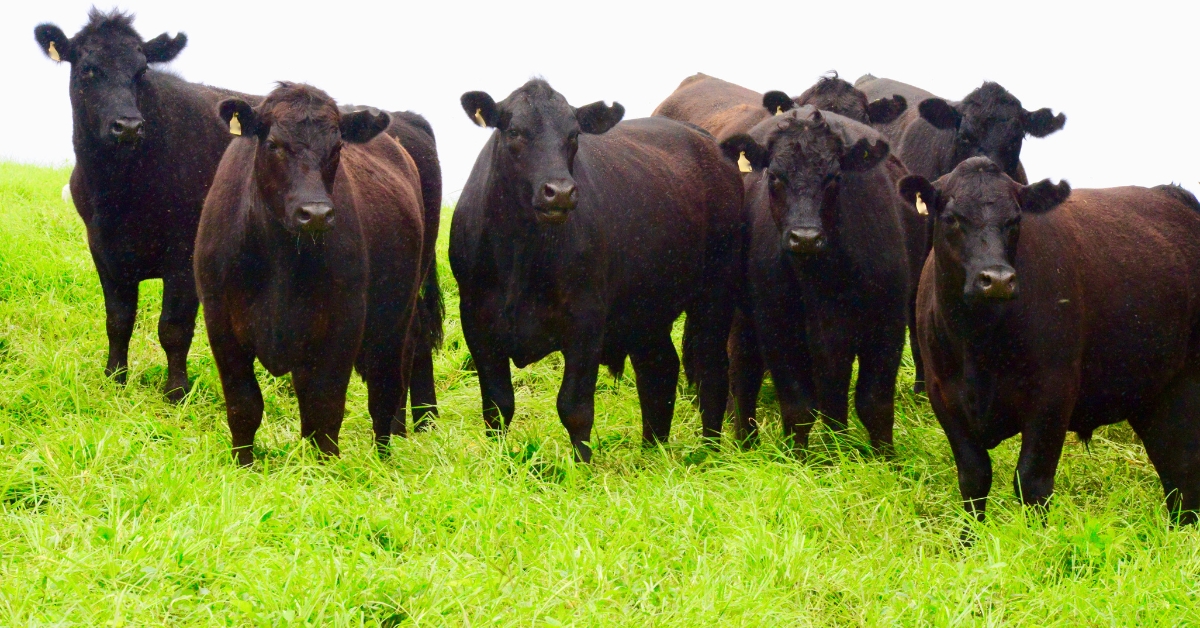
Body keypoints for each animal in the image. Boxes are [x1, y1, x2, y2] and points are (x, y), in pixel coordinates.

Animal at [34, 9, 256, 401]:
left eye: (142, 71)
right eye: (88, 68)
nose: (128, 126)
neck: (122, 194)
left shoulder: (185, 253)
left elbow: (174, 327)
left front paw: (176, 392)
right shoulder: (102, 248)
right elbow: (118, 319)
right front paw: (114, 378)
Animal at [195, 83, 425, 465]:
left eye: (338, 147)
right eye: (273, 144)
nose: (315, 213)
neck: (280, 261)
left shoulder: (343, 322)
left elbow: (325, 408)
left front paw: (324, 470)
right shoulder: (220, 320)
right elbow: (244, 405)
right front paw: (243, 465)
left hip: (396, 319)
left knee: (384, 392)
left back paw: (382, 460)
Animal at [449, 79, 744, 462]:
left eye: (573, 134)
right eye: (514, 131)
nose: (559, 192)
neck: (521, 256)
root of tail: (708, 142)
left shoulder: (586, 319)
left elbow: (574, 407)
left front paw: (582, 467)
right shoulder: (476, 321)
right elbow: (498, 405)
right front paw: (500, 462)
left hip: (716, 292)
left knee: (711, 370)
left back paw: (708, 452)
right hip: (647, 307)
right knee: (659, 368)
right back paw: (651, 452)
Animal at [721, 106, 924, 453]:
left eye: (834, 177)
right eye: (774, 176)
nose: (805, 237)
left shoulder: (888, 320)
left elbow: (873, 403)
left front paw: (880, 457)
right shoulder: (775, 322)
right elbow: (799, 406)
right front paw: (800, 458)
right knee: (744, 369)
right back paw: (745, 443)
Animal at [899, 157, 1200, 526]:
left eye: (1015, 220)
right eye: (952, 218)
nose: (997, 280)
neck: (979, 344)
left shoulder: (1053, 393)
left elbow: (1031, 481)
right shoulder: (943, 395)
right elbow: (974, 478)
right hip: (1157, 395)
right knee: (1178, 472)